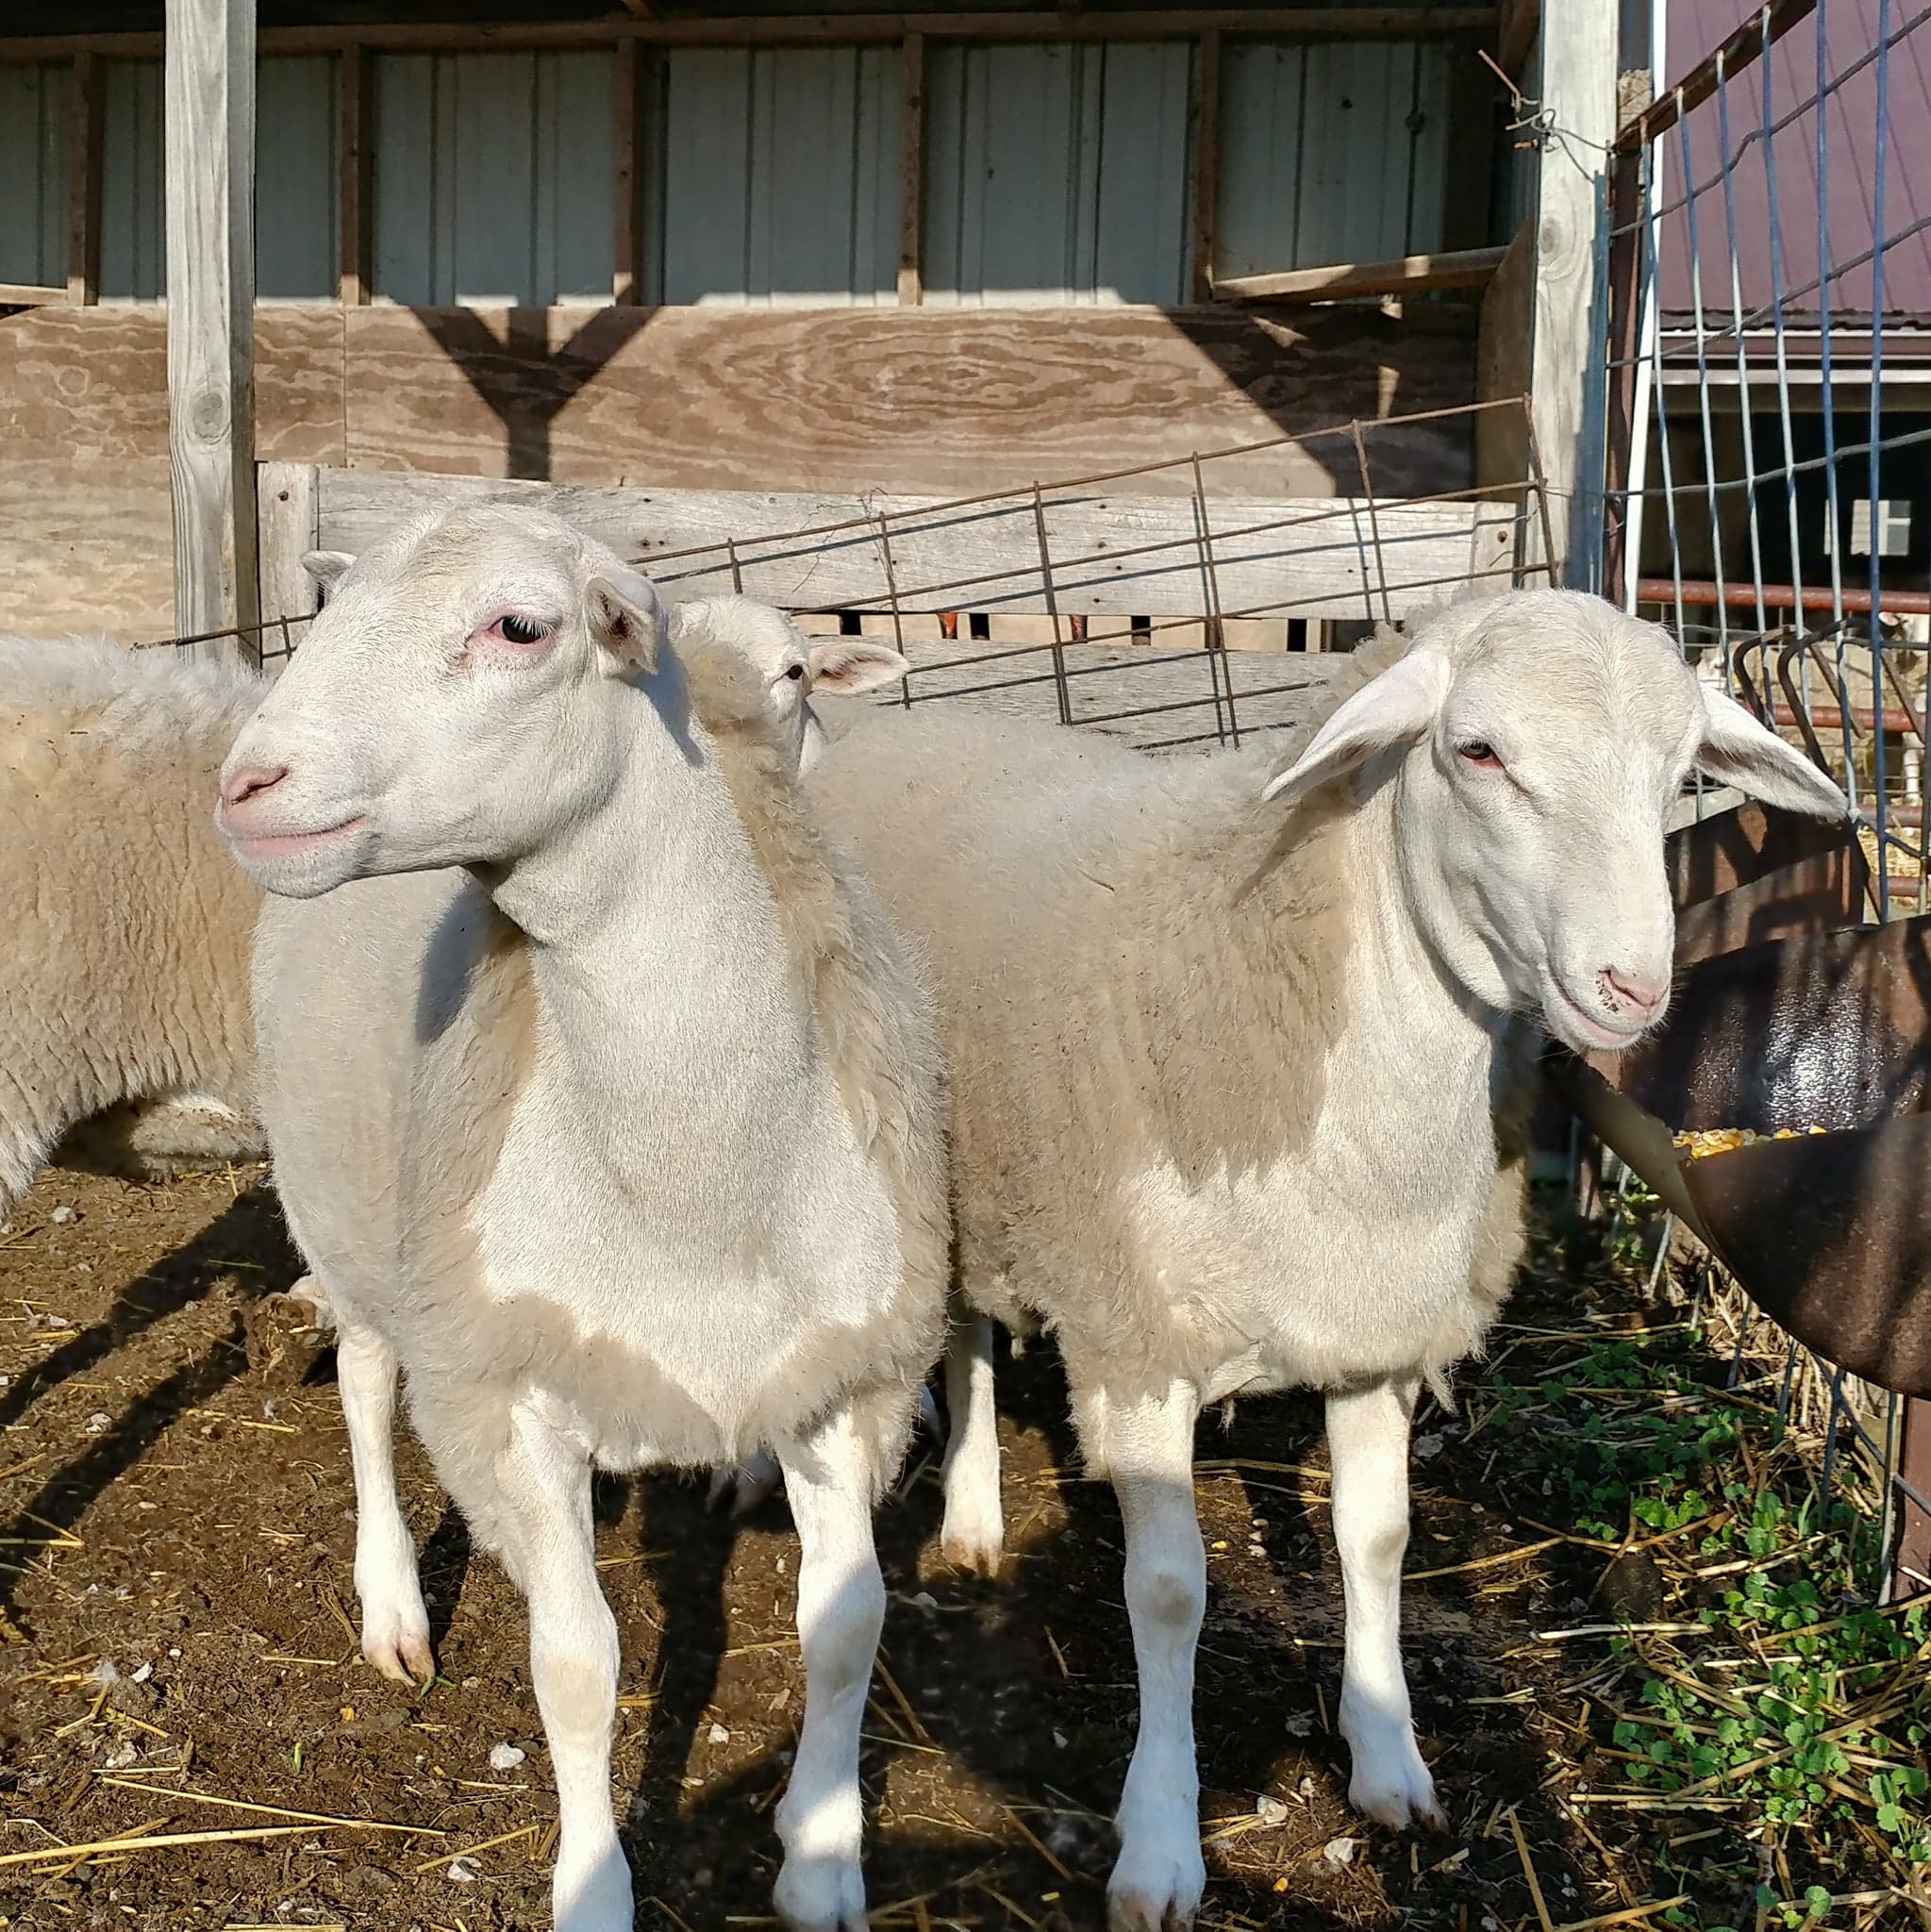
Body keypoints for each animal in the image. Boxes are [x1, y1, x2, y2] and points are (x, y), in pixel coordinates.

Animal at [219, 506, 947, 1932]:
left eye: (520, 626)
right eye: (330, 612)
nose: (244, 784)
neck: (692, 1180)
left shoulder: (852, 1377)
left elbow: (846, 1625)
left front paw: (823, 1859)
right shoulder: (505, 1397)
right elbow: (576, 1664)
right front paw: (595, 1884)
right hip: (352, 1214)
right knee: (365, 1384)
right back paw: (393, 1602)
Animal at [803, 589, 1850, 1930]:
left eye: (1679, 779)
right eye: (1477, 752)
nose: (1629, 986)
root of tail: (893, 722)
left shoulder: (1375, 1331)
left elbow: (1378, 1539)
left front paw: (1389, 1755)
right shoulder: (1140, 1344)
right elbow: (1169, 1593)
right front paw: (1159, 1843)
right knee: (960, 1335)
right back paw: (974, 1510)